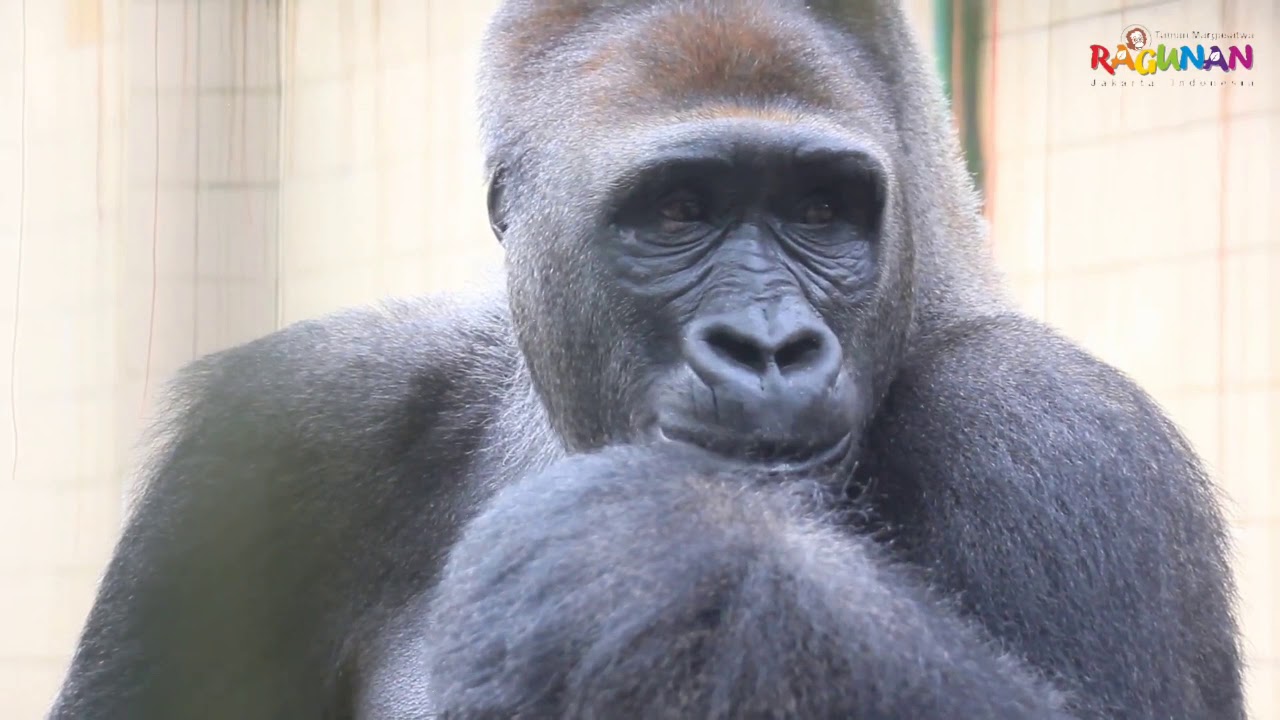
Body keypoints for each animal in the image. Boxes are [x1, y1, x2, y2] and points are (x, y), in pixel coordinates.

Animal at [50, 1, 1244, 718]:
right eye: (679, 210)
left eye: (821, 209)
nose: (766, 346)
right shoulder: (284, 427)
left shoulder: (1056, 431)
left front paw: (648, 559)